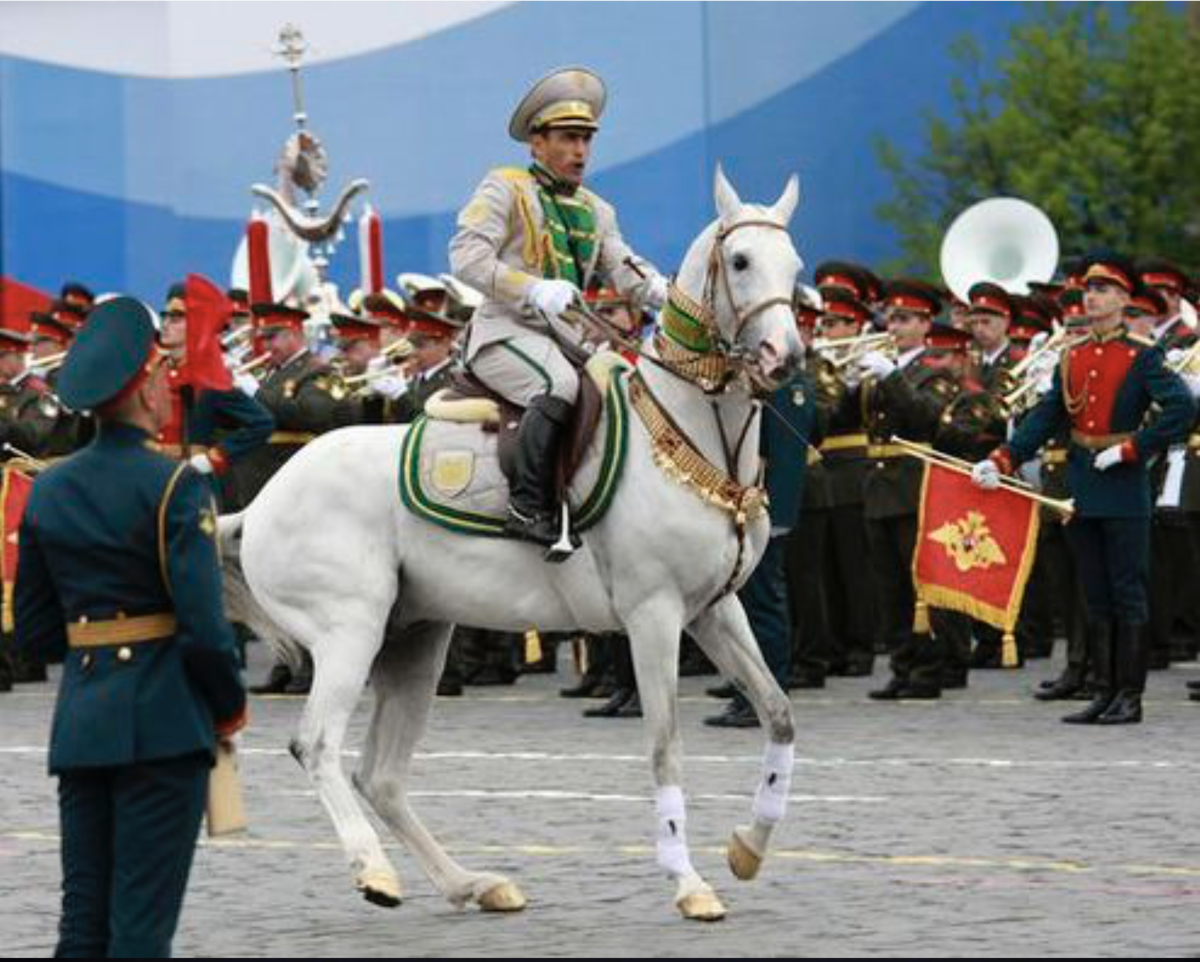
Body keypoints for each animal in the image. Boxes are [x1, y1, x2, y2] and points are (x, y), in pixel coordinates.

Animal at [220, 166, 806, 921]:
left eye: (794, 265)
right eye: (739, 261)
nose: (783, 357)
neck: (690, 439)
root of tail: (261, 502)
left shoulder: (714, 609)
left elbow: (780, 715)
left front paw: (748, 847)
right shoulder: (653, 614)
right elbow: (664, 747)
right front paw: (689, 881)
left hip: (415, 641)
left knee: (381, 775)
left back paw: (470, 882)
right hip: (350, 630)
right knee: (317, 745)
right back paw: (374, 872)